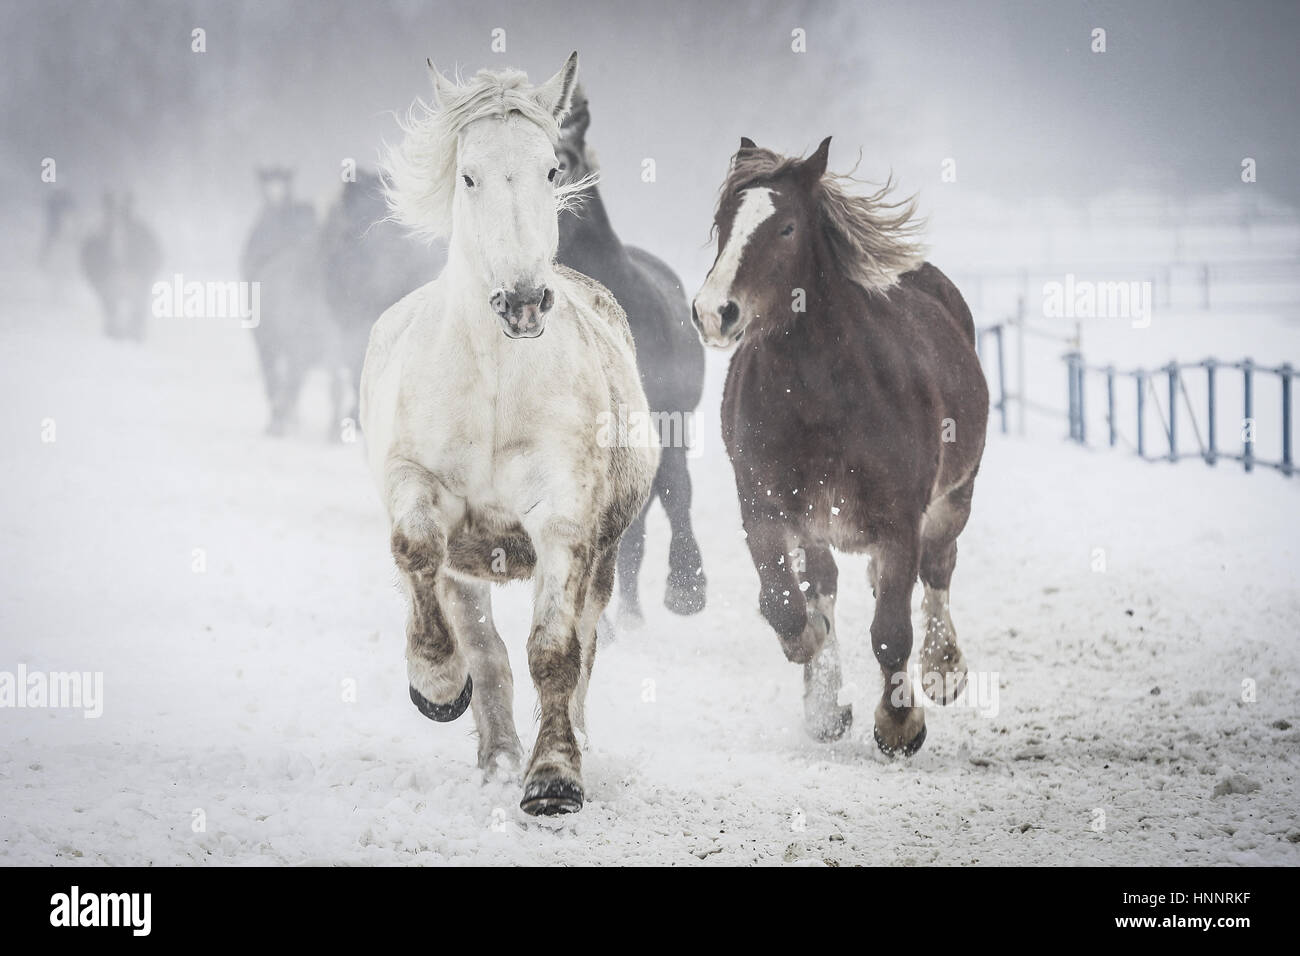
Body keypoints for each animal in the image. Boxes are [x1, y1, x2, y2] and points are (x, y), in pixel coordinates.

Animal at [363, 53, 657, 814]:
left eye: (551, 169)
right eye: (469, 175)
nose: (524, 301)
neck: (494, 386)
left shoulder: (562, 517)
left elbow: (556, 649)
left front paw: (553, 778)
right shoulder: (418, 485)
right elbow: (415, 552)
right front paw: (437, 684)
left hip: (601, 558)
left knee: (583, 640)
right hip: (469, 562)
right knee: (482, 643)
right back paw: (494, 754)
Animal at [691, 137, 988, 755]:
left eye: (786, 227)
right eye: (723, 222)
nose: (713, 311)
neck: (819, 398)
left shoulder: (900, 521)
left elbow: (891, 630)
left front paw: (900, 724)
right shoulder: (764, 510)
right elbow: (784, 604)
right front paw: (818, 672)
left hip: (956, 497)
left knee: (938, 568)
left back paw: (943, 666)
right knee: (823, 584)